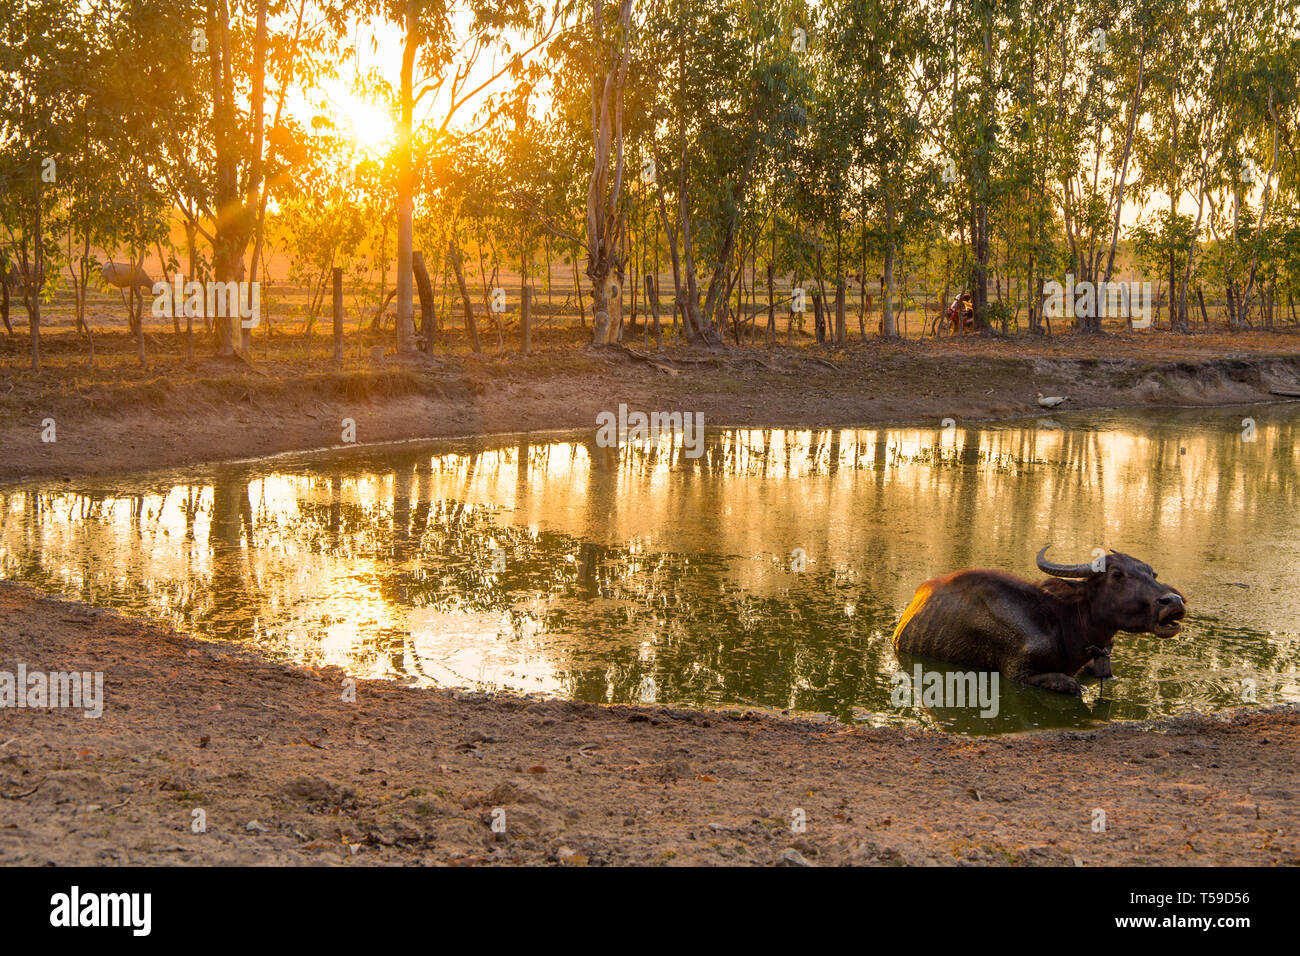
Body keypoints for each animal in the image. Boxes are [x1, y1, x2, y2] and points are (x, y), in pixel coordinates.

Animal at [892, 546, 1186, 695]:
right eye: (1116, 574)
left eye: (1152, 573)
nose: (1174, 601)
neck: (1064, 624)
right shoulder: (1018, 672)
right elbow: (1071, 685)